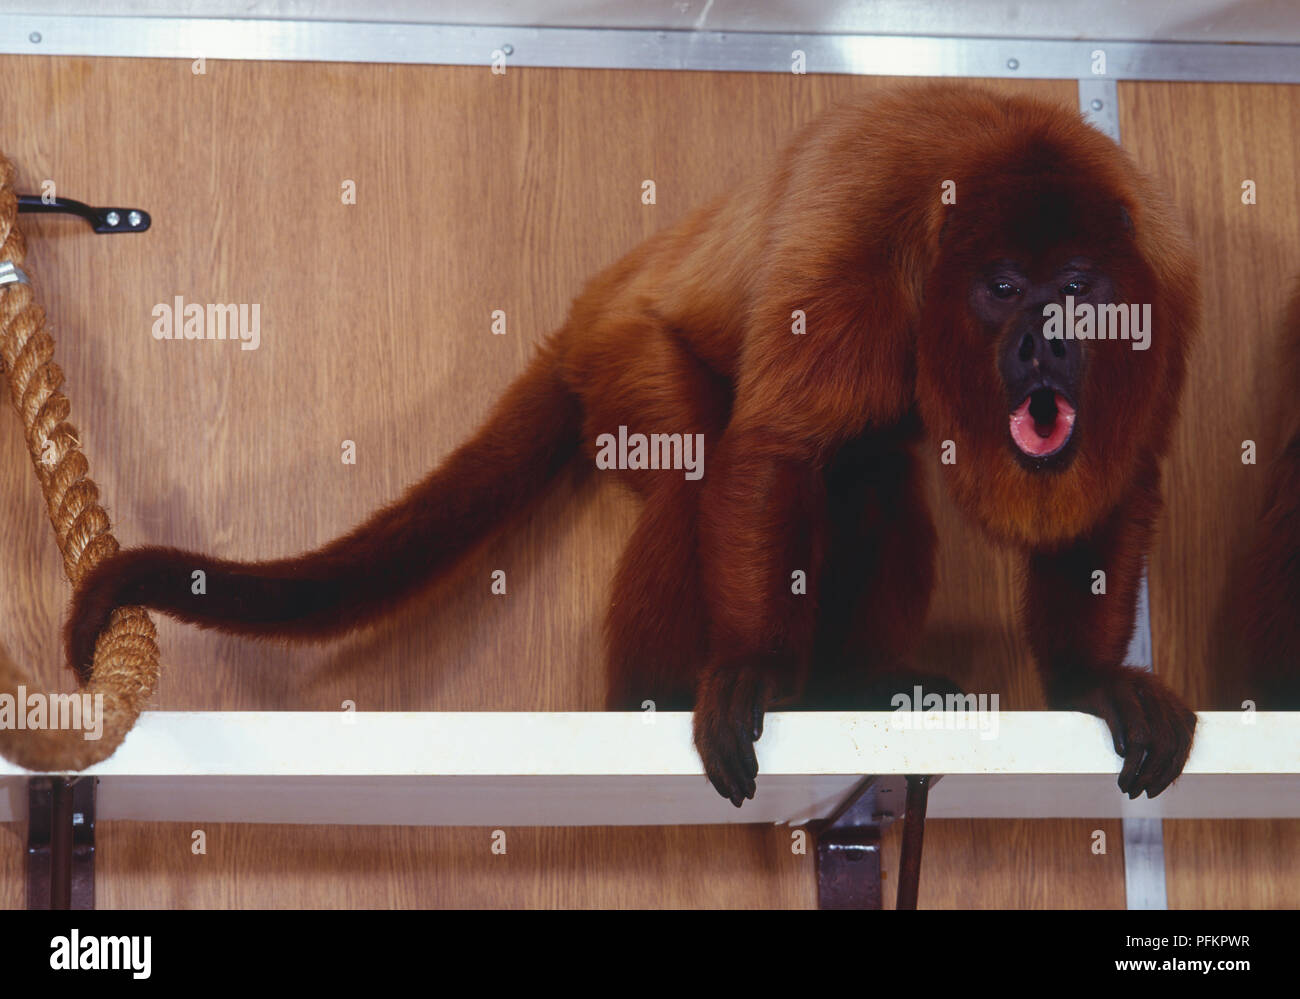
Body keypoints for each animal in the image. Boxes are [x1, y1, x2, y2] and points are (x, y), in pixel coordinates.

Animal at [66, 84, 1199, 806]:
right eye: (1004, 287)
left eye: (1078, 288)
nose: (1045, 338)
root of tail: (591, 302)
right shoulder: (857, 238)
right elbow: (771, 452)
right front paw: (750, 664)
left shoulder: (1169, 280)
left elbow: (1121, 488)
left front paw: (1088, 682)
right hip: (623, 357)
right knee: (701, 476)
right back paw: (656, 697)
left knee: (870, 477)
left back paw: (854, 681)